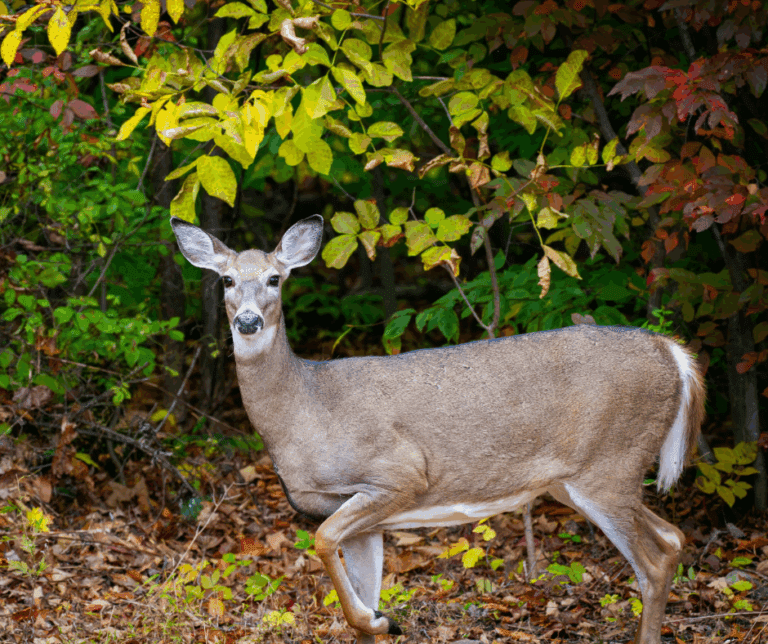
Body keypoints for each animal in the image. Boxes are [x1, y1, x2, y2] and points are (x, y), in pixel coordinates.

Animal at [171, 214, 705, 644]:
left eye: (275, 279)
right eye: (225, 280)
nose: (248, 321)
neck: (306, 408)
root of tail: (673, 353)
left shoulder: (400, 473)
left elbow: (322, 541)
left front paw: (383, 619)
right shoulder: (365, 518)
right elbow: (357, 598)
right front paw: (377, 619)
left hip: (609, 465)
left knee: (654, 563)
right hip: (582, 480)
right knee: (673, 538)